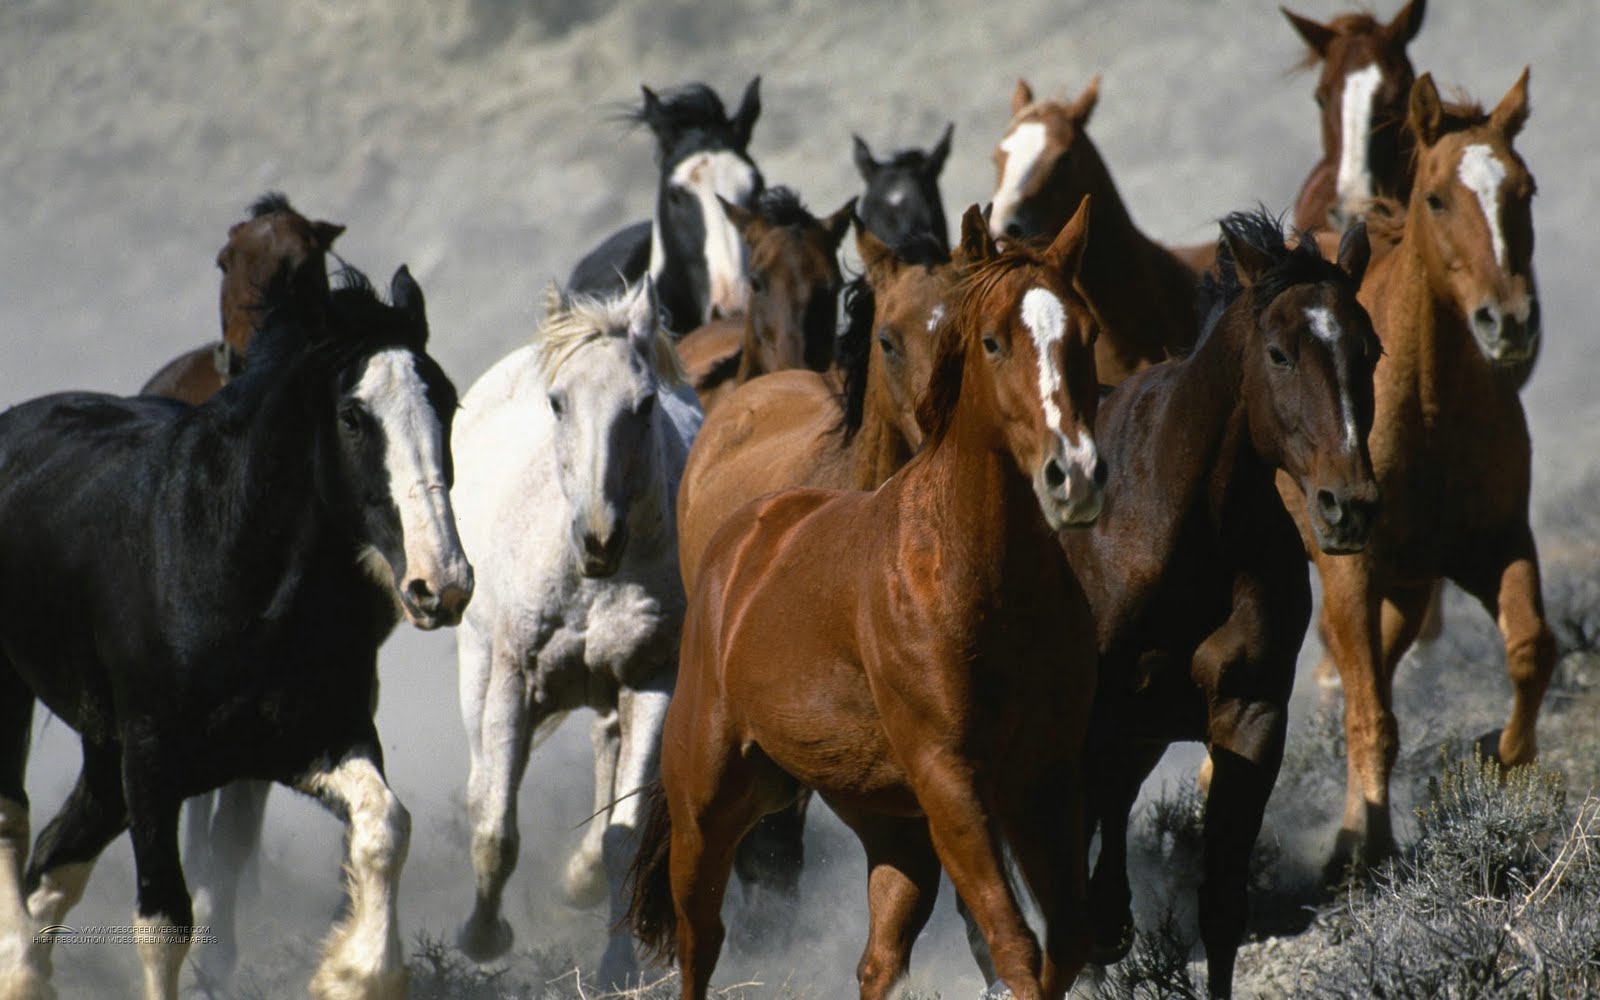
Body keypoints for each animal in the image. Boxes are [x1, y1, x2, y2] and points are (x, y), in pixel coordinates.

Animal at [0, 265, 472, 1000]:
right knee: (14, 822)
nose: (441, 584)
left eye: (445, 403)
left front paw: (351, 971)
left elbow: (384, 825)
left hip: (105, 750)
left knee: (57, 857)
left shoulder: (310, 739)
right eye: (352, 416)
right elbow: (164, 923)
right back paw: (19, 965)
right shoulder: (153, 761)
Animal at [450, 280, 701, 986]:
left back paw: (580, 879)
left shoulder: (652, 683)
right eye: (558, 402)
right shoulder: (514, 676)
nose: (599, 538)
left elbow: (624, 834)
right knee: (482, 781)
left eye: (643, 404)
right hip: (476, 658)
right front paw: (483, 937)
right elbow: (495, 828)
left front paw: (616, 964)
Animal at [1008, 211, 1377, 1000]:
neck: (1175, 528)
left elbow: (1221, 906)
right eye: (1278, 353)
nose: (1349, 505)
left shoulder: (1248, 717)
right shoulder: (1085, 727)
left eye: (1371, 350)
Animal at [1280, 70, 1552, 878]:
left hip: (1404, 589)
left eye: (1524, 189)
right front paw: (1366, 849)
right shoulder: (1350, 572)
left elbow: (1531, 650)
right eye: (1435, 197)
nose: (1509, 321)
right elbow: (1372, 715)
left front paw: (1505, 763)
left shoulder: (1496, 544)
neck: (1427, 412)